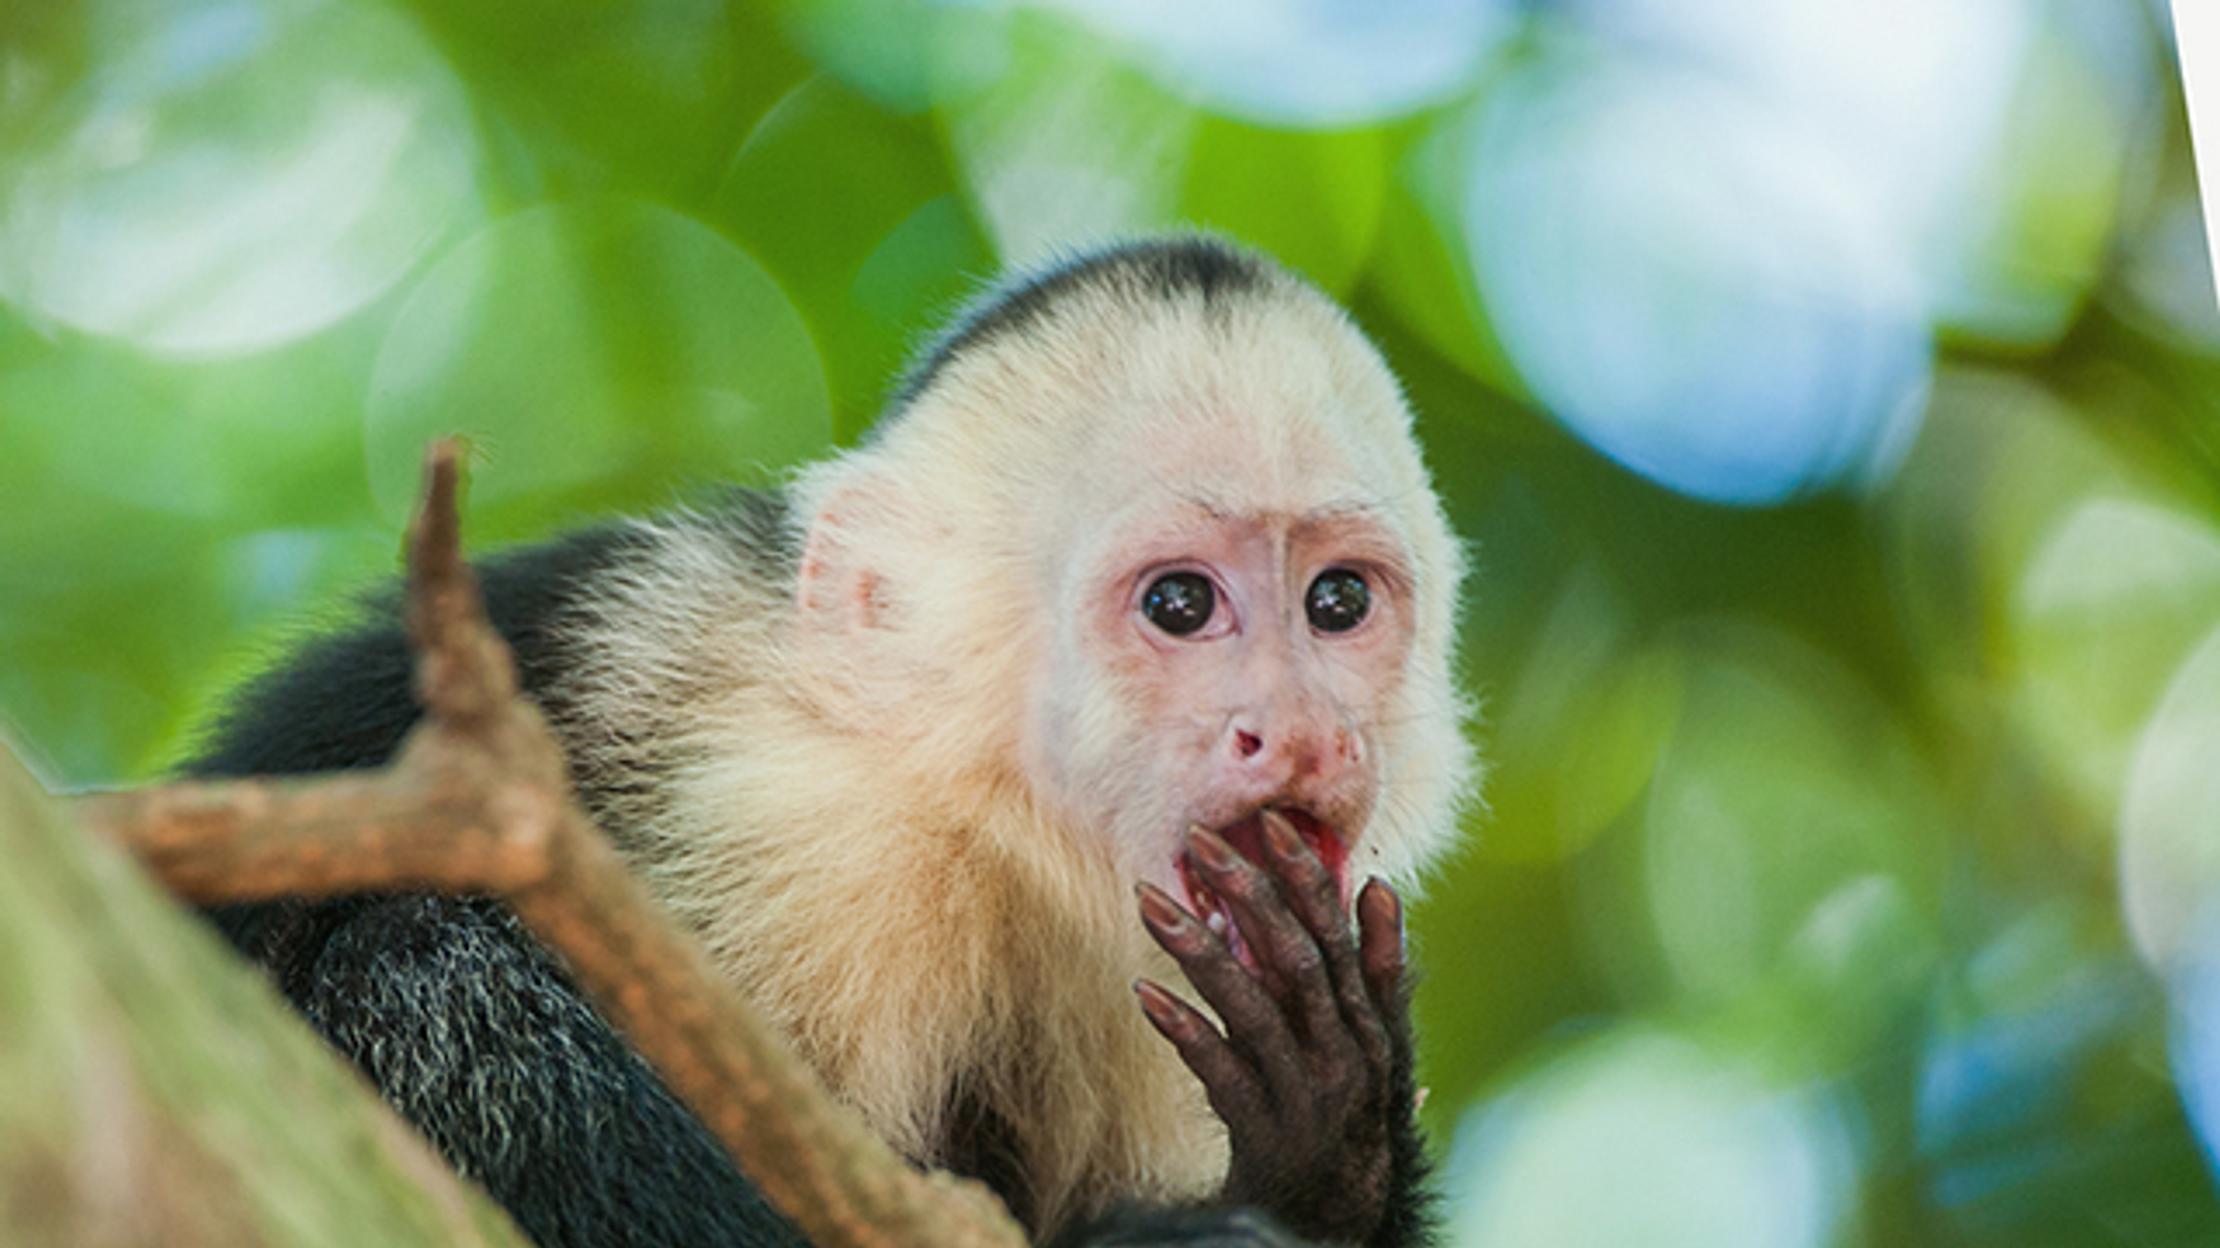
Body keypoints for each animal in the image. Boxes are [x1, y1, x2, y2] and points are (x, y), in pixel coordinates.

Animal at [188, 236, 1477, 1247]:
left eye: (1336, 603)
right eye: (1178, 604)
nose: (1301, 731)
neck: (980, 821)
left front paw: (1325, 1137)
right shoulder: (802, 847)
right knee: (420, 966)